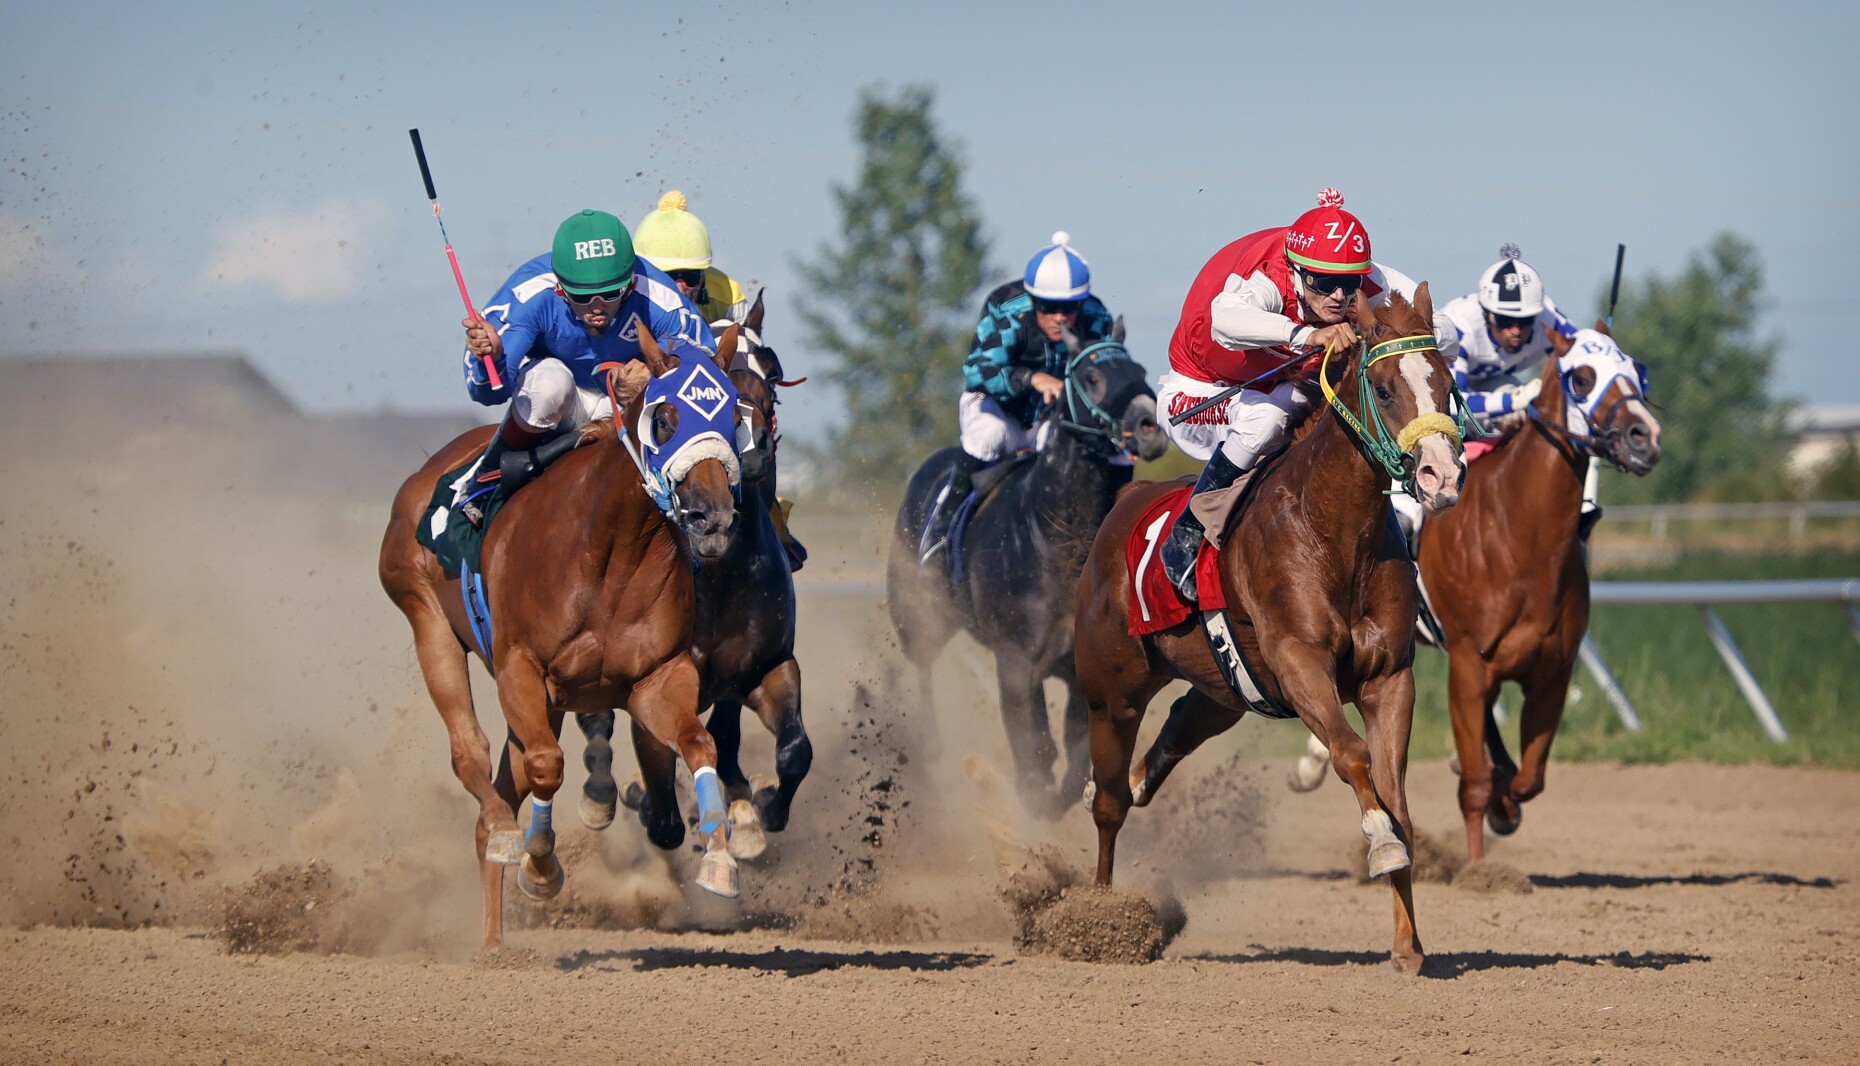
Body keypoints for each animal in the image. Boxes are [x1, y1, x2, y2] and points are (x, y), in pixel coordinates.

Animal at [379, 326, 748, 947]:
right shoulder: (520, 667)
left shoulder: (657, 678)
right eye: (665, 417)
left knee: (501, 791)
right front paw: (540, 866)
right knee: (473, 757)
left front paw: (720, 860)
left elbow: (700, 742)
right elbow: (548, 766)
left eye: (730, 416)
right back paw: (506, 837)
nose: (714, 520)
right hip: (426, 617)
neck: (612, 549)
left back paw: (494, 941)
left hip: (543, 704)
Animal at [576, 293, 813, 860]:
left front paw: (761, 808)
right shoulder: (654, 681)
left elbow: (791, 750)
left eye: (772, 370)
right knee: (597, 728)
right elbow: (660, 775)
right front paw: (655, 803)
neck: (720, 577)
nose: (750, 447)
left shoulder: (764, 665)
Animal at [887, 326, 1170, 816]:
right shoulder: (1016, 660)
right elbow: (1034, 749)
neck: (1055, 540)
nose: (1149, 428)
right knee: (921, 664)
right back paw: (928, 745)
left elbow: (1074, 760)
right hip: (919, 612)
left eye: (1138, 369)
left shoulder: (1081, 670)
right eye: (1092, 376)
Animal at [1072, 286, 1464, 975]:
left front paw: (1407, 946)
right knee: (1111, 803)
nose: (1440, 477)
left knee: (1167, 739)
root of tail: (1125, 504)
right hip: (1111, 692)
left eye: (1445, 384)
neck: (1332, 530)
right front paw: (1381, 844)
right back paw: (1101, 919)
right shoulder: (1298, 661)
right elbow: (1353, 756)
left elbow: (1396, 795)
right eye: (1384, 388)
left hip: (1224, 690)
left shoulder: (1389, 676)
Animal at [1289, 322, 1661, 862]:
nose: (1644, 436)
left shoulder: (1553, 670)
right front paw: (1478, 866)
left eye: (1635, 371)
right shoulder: (1467, 665)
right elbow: (1475, 785)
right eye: (1583, 378)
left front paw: (1505, 803)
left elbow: (1530, 778)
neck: (1519, 536)